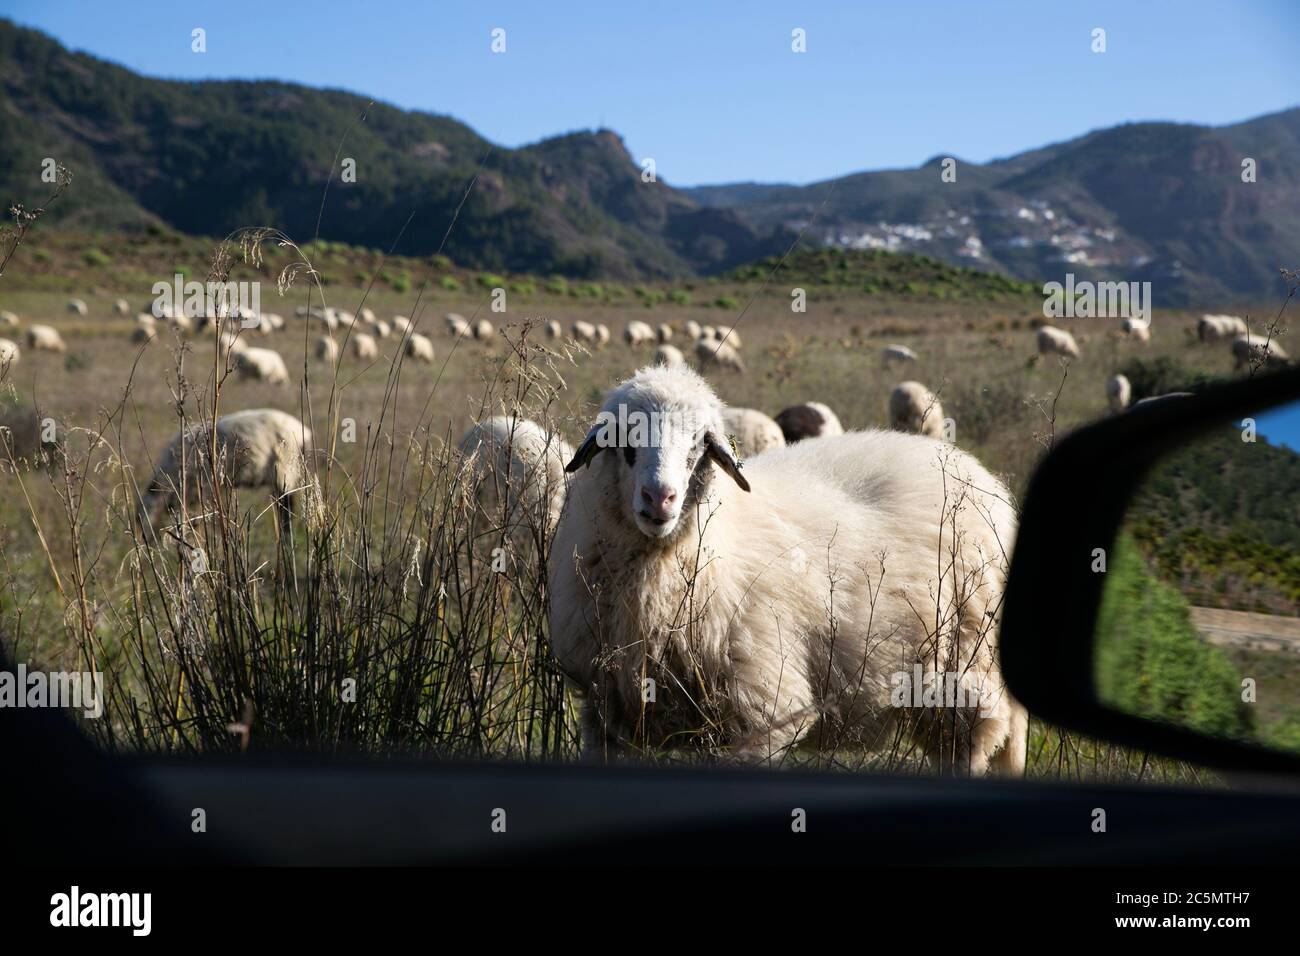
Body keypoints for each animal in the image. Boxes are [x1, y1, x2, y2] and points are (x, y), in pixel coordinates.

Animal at [551, 365, 1024, 774]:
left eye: (698, 444)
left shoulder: (764, 712)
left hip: (966, 667)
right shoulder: (606, 716)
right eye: (622, 441)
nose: (659, 499)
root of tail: (976, 471)